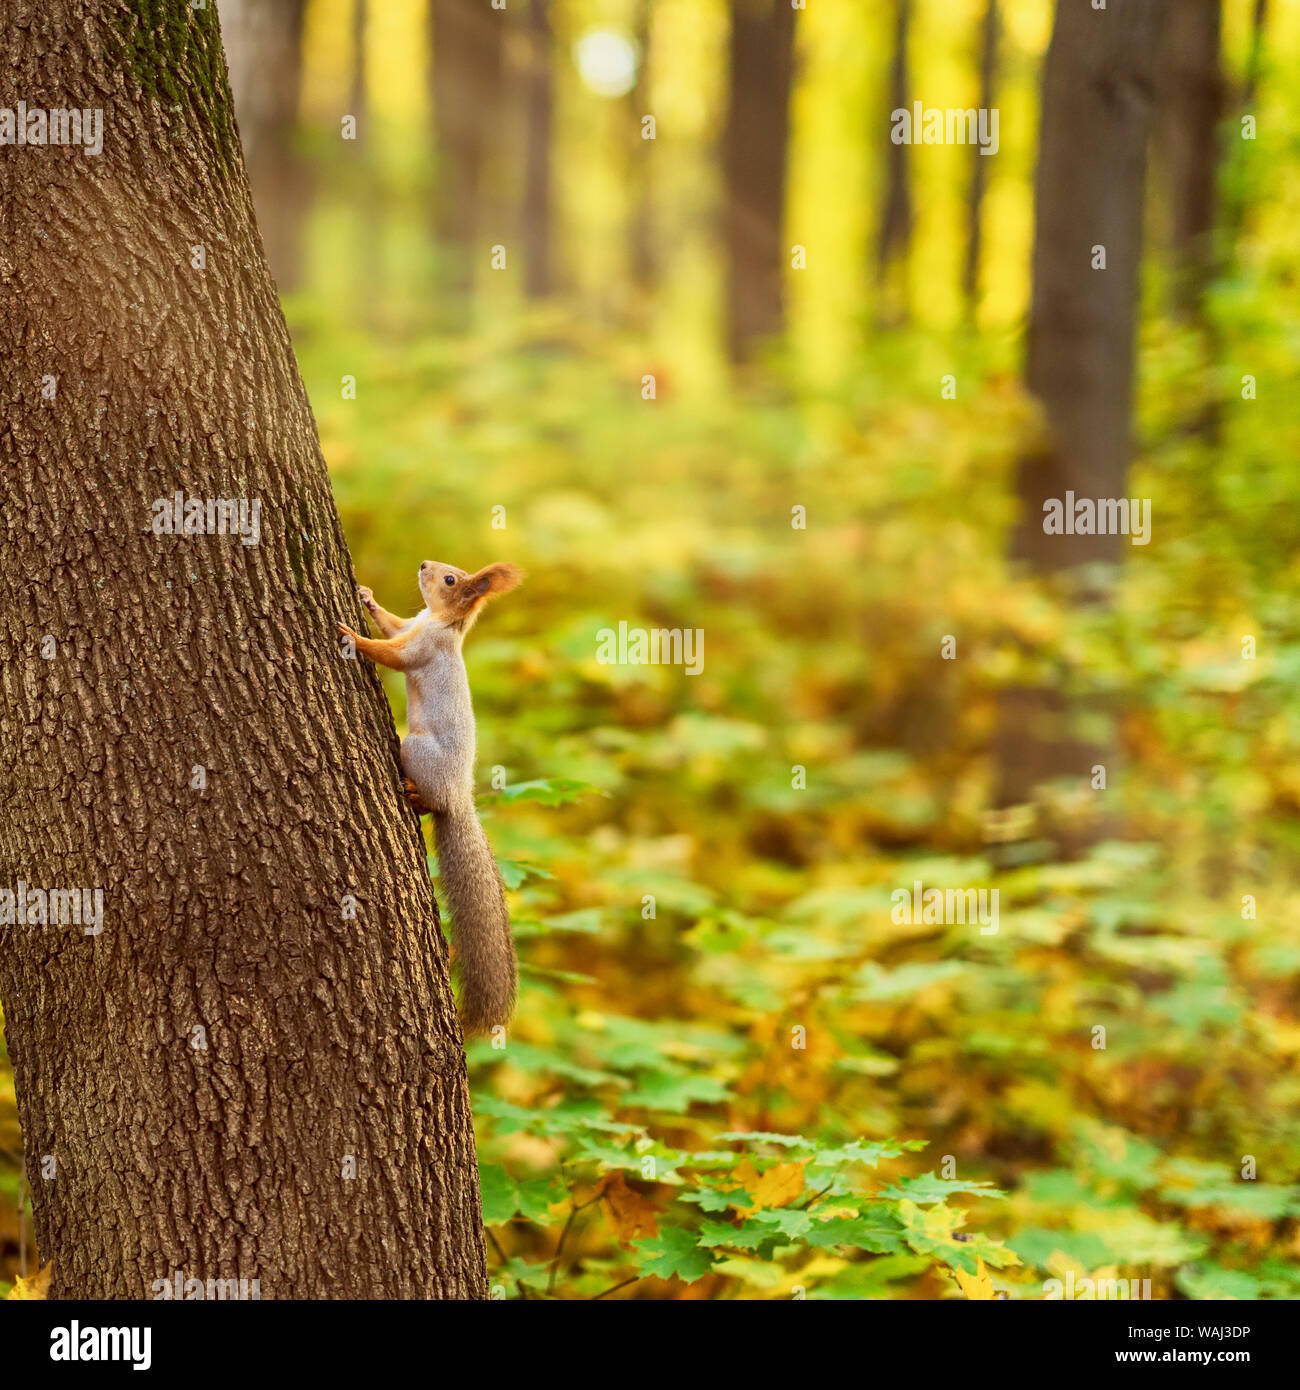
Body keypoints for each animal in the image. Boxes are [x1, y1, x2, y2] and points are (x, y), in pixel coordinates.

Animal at [339, 559, 523, 1036]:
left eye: (451, 580)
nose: (424, 564)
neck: (440, 622)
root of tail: (458, 796)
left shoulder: (422, 647)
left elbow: (391, 654)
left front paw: (353, 637)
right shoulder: (413, 625)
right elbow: (392, 624)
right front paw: (367, 598)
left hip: (414, 749)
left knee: (429, 801)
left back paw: (415, 794)